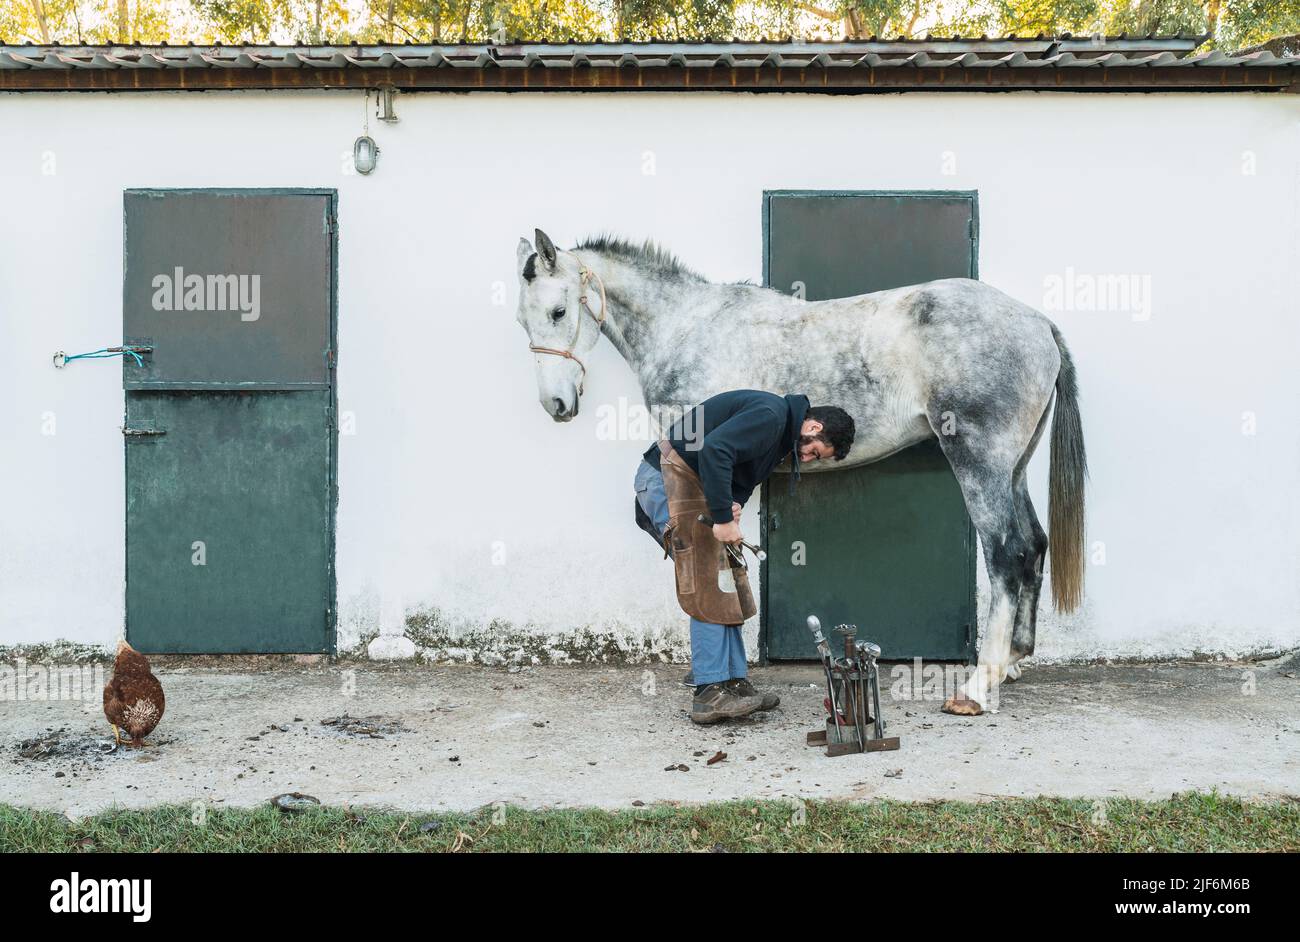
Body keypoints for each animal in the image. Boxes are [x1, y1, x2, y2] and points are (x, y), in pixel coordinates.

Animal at [513, 228, 1086, 715]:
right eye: (524, 320)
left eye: (559, 311)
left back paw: (977, 686)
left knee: (1007, 553)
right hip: (1014, 466)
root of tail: (1037, 322)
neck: (688, 327)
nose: (556, 405)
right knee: (1034, 545)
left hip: (980, 461)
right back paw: (1013, 663)